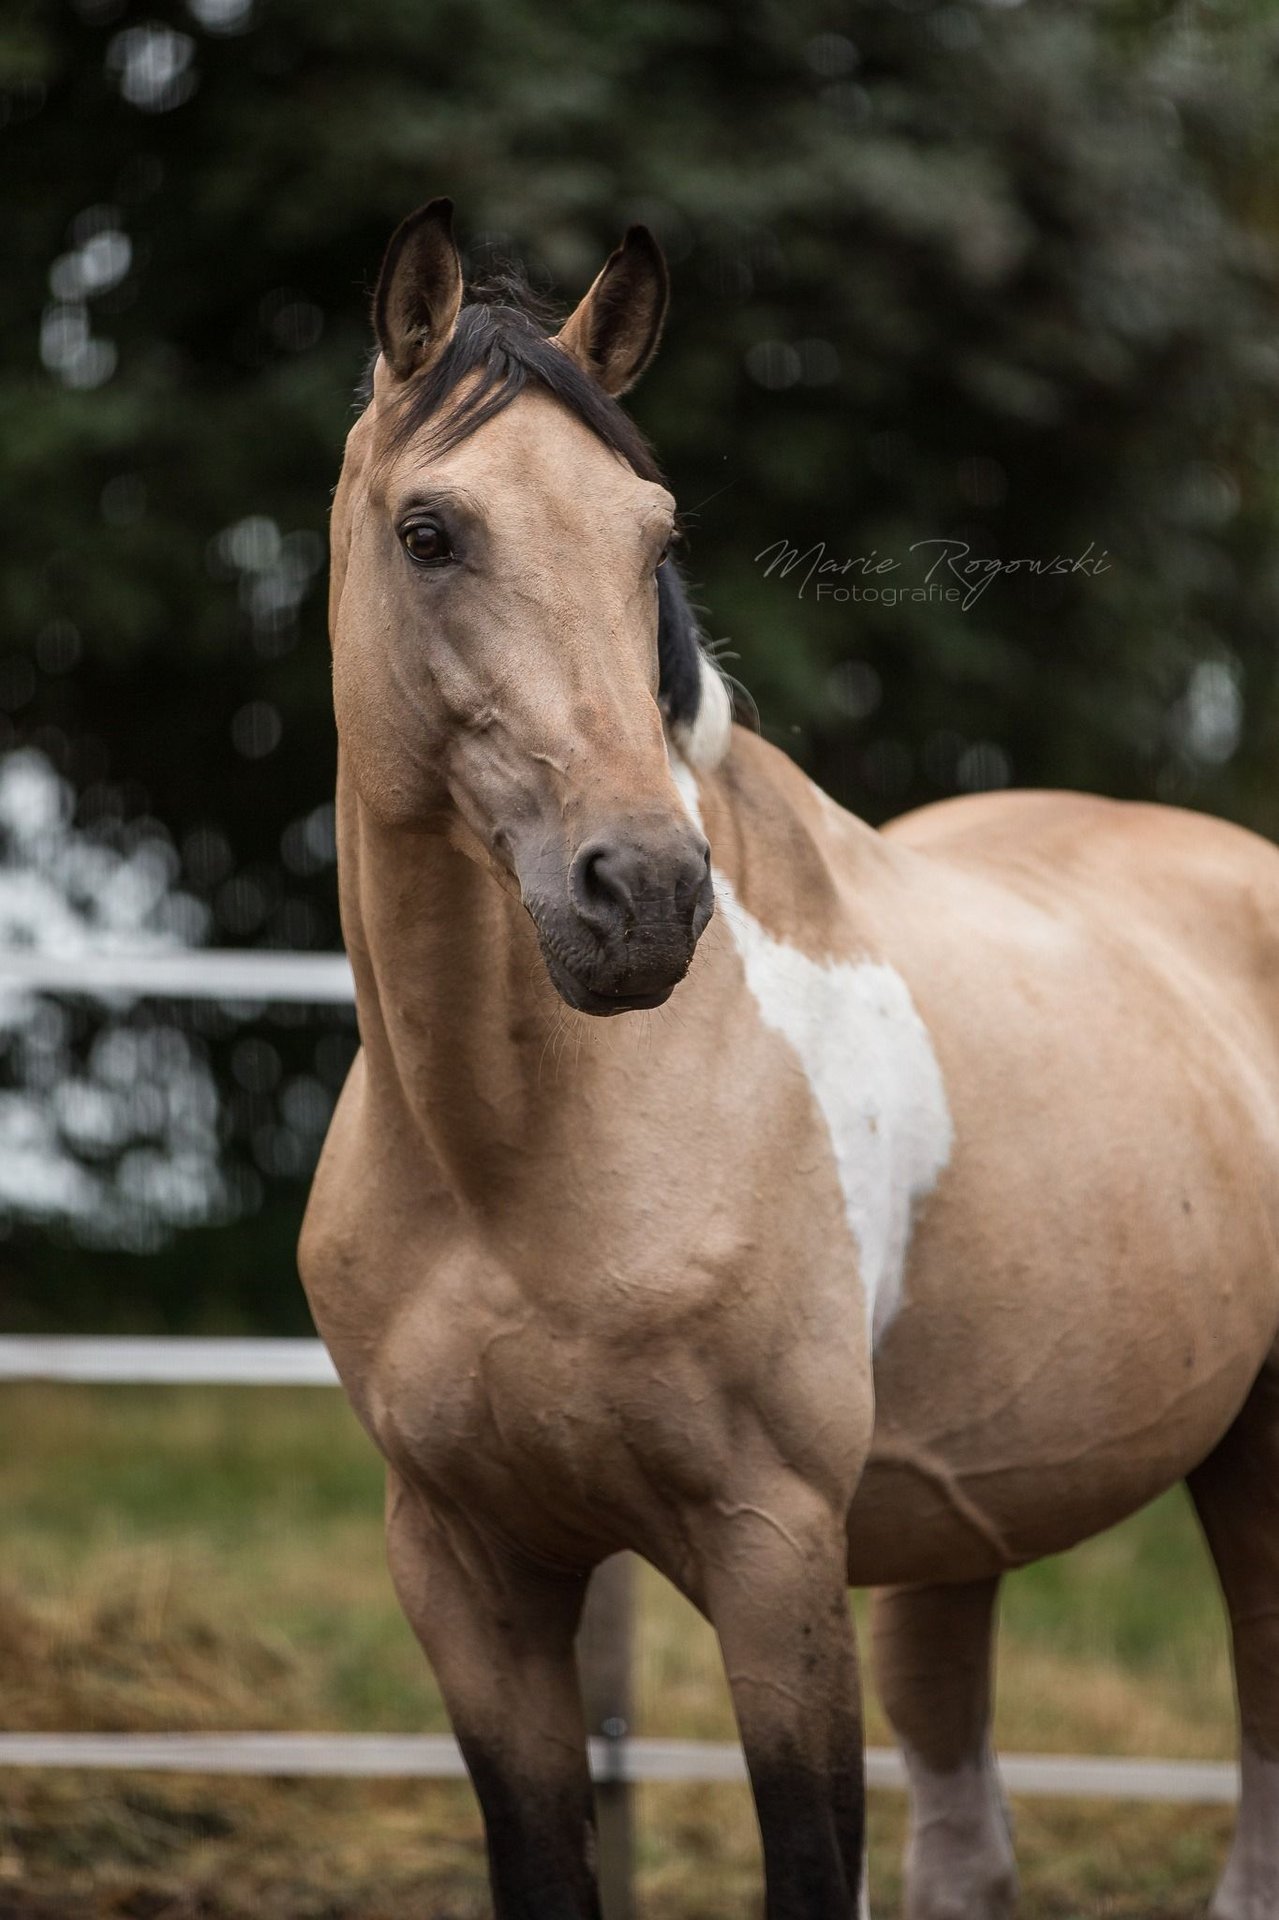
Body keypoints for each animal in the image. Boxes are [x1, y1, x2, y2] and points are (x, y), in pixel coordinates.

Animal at [300, 196, 1279, 1920]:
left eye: (652, 538)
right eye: (429, 532)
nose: (641, 897)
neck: (512, 1161)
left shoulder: (771, 1556)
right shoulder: (467, 1573)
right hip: (969, 1536)